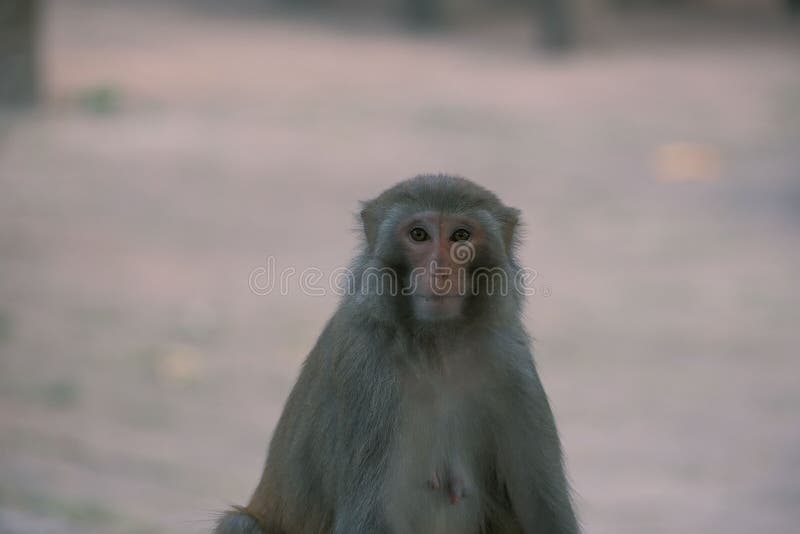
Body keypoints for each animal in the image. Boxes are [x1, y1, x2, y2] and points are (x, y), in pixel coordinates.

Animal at [215, 174, 580, 534]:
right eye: (418, 235)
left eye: (461, 236)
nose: (439, 270)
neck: (437, 347)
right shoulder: (365, 367)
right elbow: (365, 520)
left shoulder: (511, 365)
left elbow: (547, 517)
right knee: (240, 524)